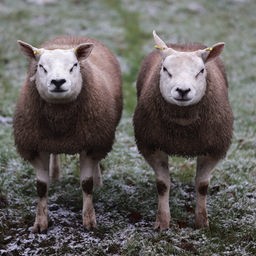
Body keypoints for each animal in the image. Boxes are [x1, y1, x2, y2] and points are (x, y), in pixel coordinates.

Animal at [13, 35, 123, 233]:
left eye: (74, 65)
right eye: (41, 66)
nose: (58, 82)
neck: (61, 122)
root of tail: (71, 37)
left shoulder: (91, 143)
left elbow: (86, 184)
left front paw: (89, 220)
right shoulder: (36, 146)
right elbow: (41, 187)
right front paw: (40, 223)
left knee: (96, 162)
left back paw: (98, 181)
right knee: (55, 155)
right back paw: (55, 175)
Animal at [133, 31, 233, 231]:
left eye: (201, 71)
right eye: (165, 69)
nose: (183, 90)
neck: (183, 129)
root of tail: (184, 44)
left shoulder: (213, 149)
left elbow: (202, 185)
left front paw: (202, 222)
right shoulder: (152, 145)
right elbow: (162, 185)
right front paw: (162, 222)